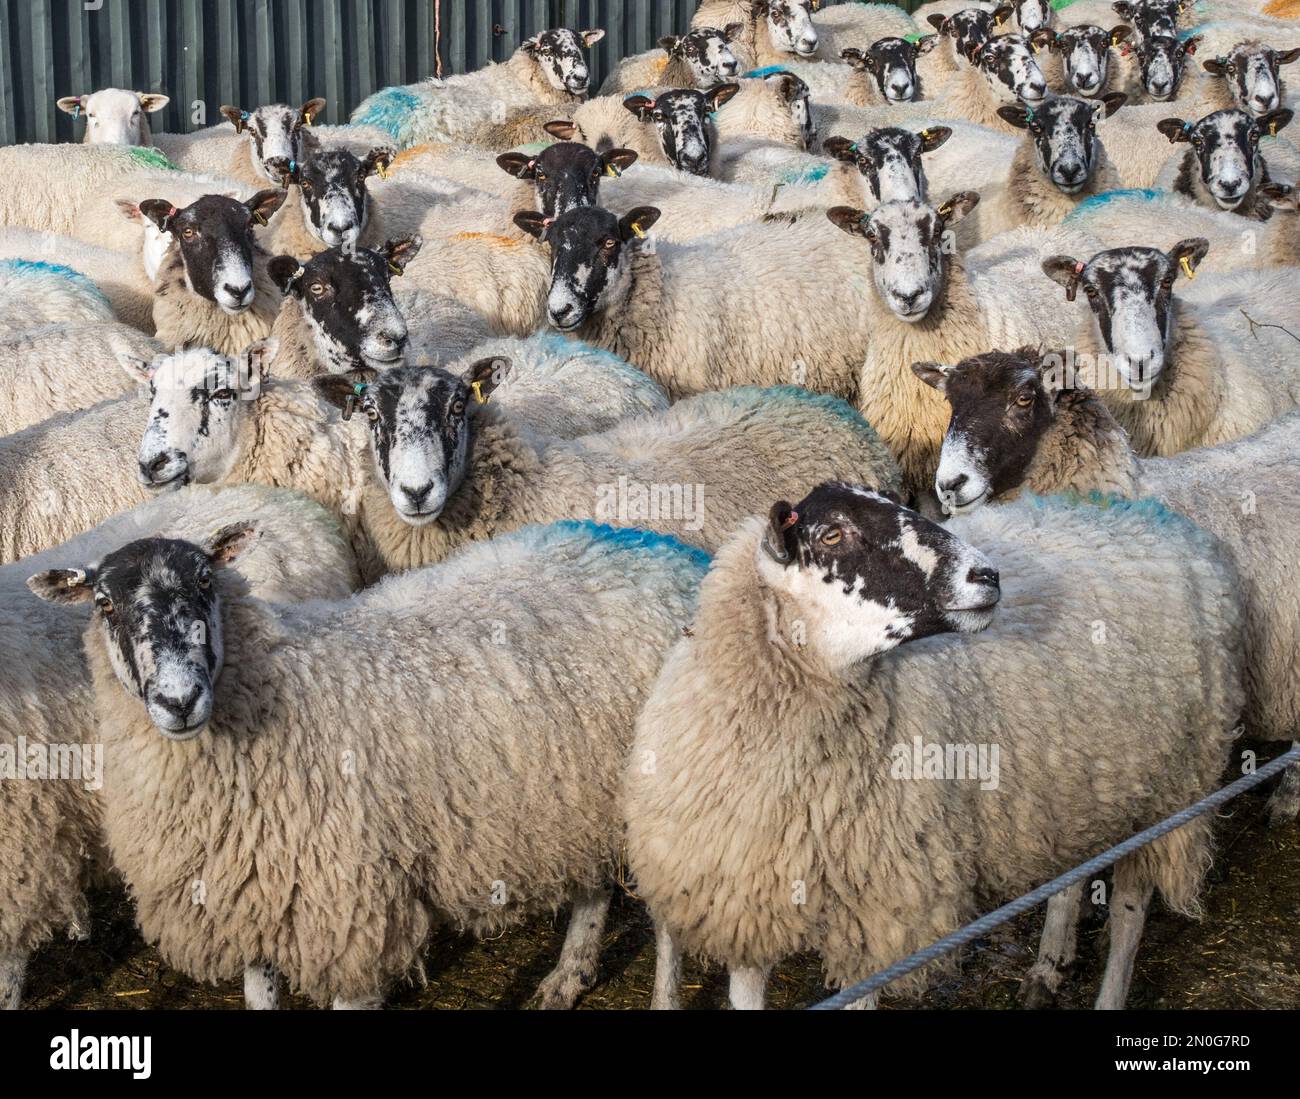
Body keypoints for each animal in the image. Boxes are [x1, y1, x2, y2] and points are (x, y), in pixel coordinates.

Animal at [31, 517, 713, 1009]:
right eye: (104, 603)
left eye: (206, 580)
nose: (179, 700)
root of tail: (673, 554)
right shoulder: (254, 897)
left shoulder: (350, 913)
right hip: (575, 785)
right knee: (592, 883)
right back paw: (566, 978)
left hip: (669, 789)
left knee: (668, 918)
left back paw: (661, 997)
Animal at [623, 480, 1244, 1009]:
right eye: (832, 535)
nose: (988, 575)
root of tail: (1162, 519)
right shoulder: (745, 896)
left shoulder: (876, 914)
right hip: (1079, 786)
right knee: (1073, 874)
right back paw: (1045, 971)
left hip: (1172, 790)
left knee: (1130, 913)